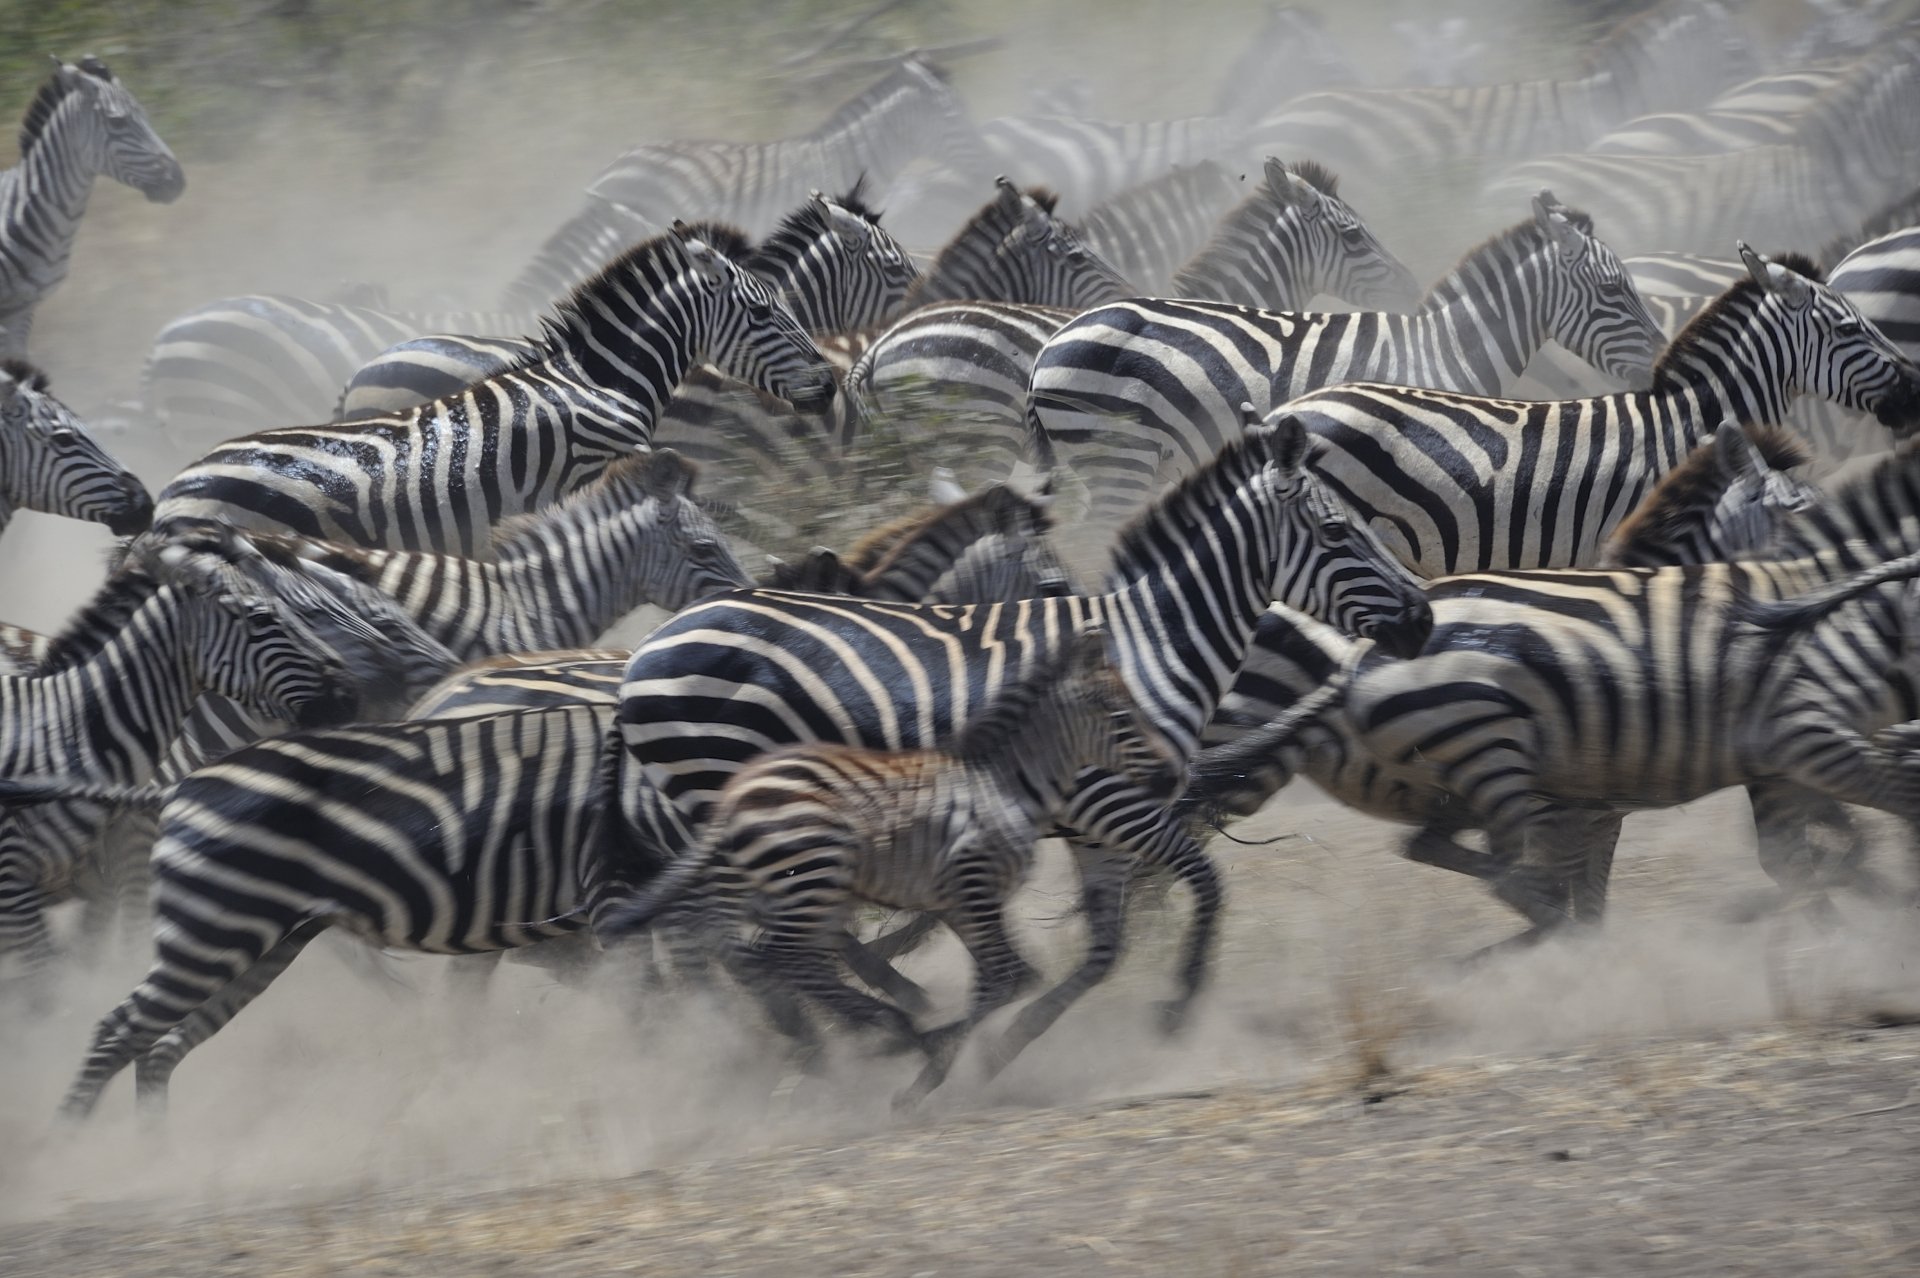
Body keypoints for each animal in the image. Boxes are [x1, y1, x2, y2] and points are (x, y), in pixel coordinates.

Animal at [151, 226, 834, 556]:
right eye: (764, 312)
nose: (829, 384)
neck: (600, 384)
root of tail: (173, 494)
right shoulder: (604, 476)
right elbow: (722, 509)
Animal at [599, 627, 1182, 1104]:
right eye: (1123, 718)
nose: (1174, 776)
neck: (1003, 782)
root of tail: (734, 797)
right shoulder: (971, 884)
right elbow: (1006, 979)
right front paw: (937, 1067)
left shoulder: (961, 898)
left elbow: (1010, 979)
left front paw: (953, 1055)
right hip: (811, 879)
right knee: (779, 957)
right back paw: (892, 1031)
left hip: (782, 889)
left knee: (775, 958)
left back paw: (884, 1030)